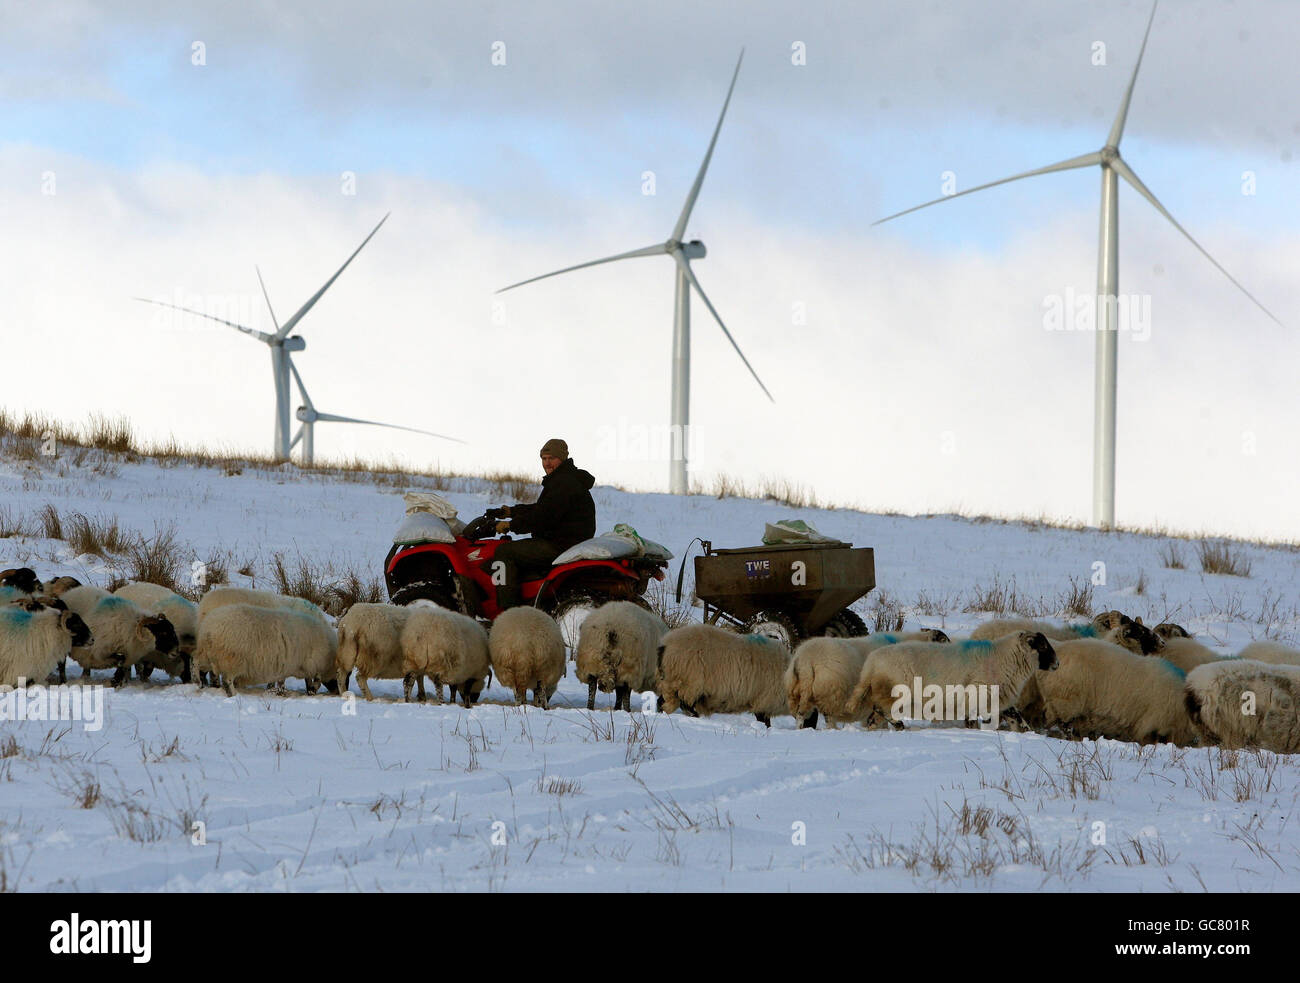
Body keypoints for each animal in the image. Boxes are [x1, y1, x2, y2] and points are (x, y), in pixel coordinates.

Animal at [197, 603, 338, 697]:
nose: (337, 692)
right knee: (227, 681)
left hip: (207, 655)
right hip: (231, 660)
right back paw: (233, 694)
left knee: (199, 668)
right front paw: (310, 691)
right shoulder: (310, 663)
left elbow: (298, 680)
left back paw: (200, 684)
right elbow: (314, 680)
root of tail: (208, 630)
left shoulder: (294, 664)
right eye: (338, 673)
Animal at [655, 624, 792, 726]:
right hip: (689, 682)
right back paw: (695, 716)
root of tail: (666, 644)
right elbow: (764, 721)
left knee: (662, 702)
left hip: (671, 681)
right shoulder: (764, 700)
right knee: (684, 704)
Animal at [848, 632, 1057, 730]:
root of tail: (871, 662)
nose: (1057, 664)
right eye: (1043, 646)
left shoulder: (996, 695)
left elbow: (1016, 716)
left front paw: (1026, 731)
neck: (1004, 658)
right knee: (883, 711)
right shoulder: (979, 692)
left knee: (875, 714)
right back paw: (899, 726)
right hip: (894, 691)